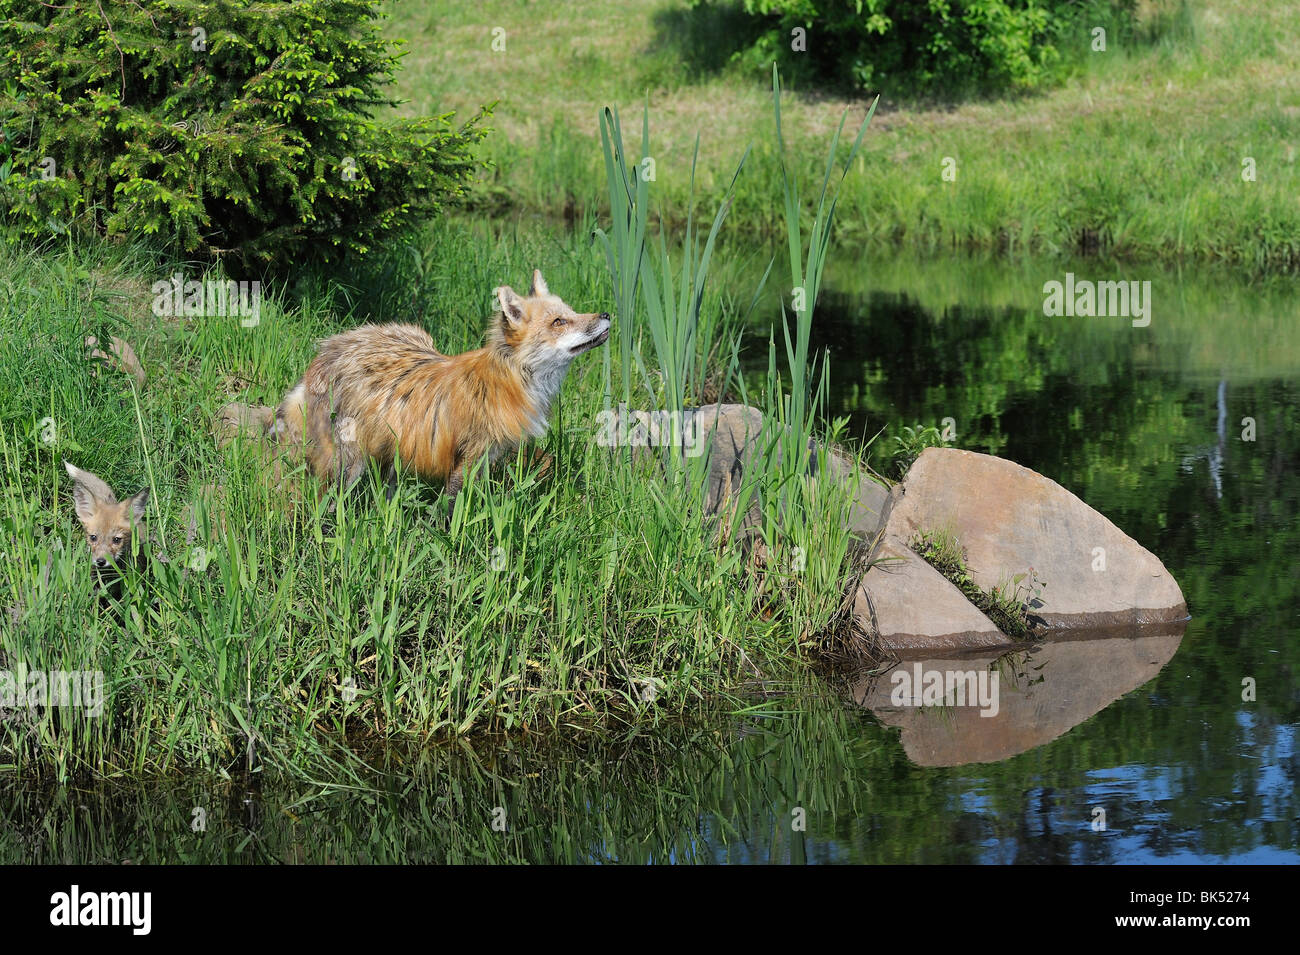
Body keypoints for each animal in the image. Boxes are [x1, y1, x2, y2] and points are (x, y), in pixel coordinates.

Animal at [272, 269, 610, 497]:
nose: (606, 314)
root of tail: (328, 349)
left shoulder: (489, 457)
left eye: (571, 312)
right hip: (349, 463)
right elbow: (451, 513)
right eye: (559, 322)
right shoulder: (469, 456)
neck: (507, 382)